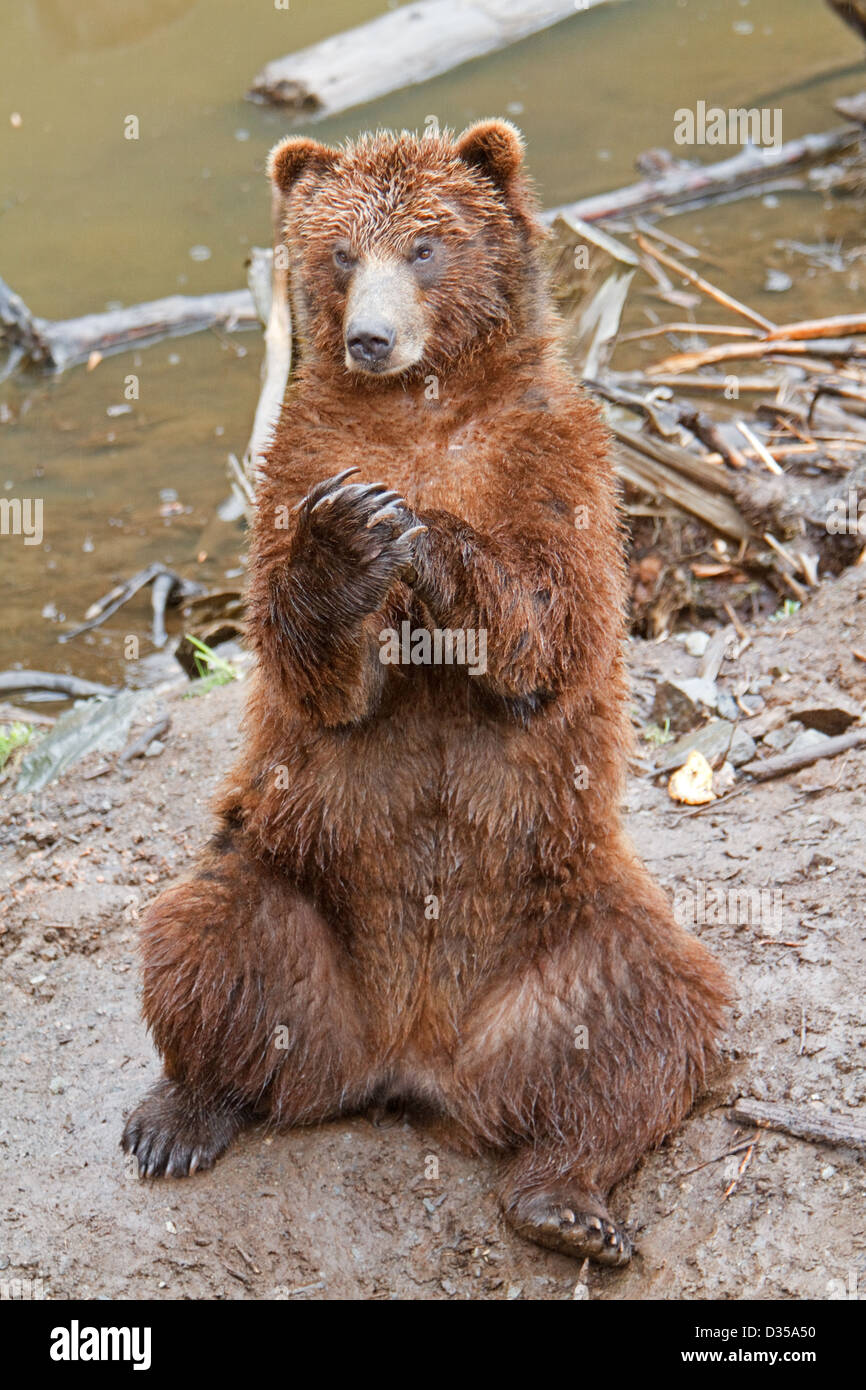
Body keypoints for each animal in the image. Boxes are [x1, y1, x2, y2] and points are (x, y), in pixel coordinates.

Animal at [121, 120, 730, 1267]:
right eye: (338, 253)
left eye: (424, 246)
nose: (369, 339)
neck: (423, 412)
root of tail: (411, 1058)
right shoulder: (294, 467)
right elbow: (320, 668)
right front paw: (352, 535)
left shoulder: (558, 465)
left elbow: (549, 623)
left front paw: (429, 539)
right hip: (298, 881)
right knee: (209, 934)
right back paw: (184, 1111)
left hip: (566, 913)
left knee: (647, 1012)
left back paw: (567, 1198)